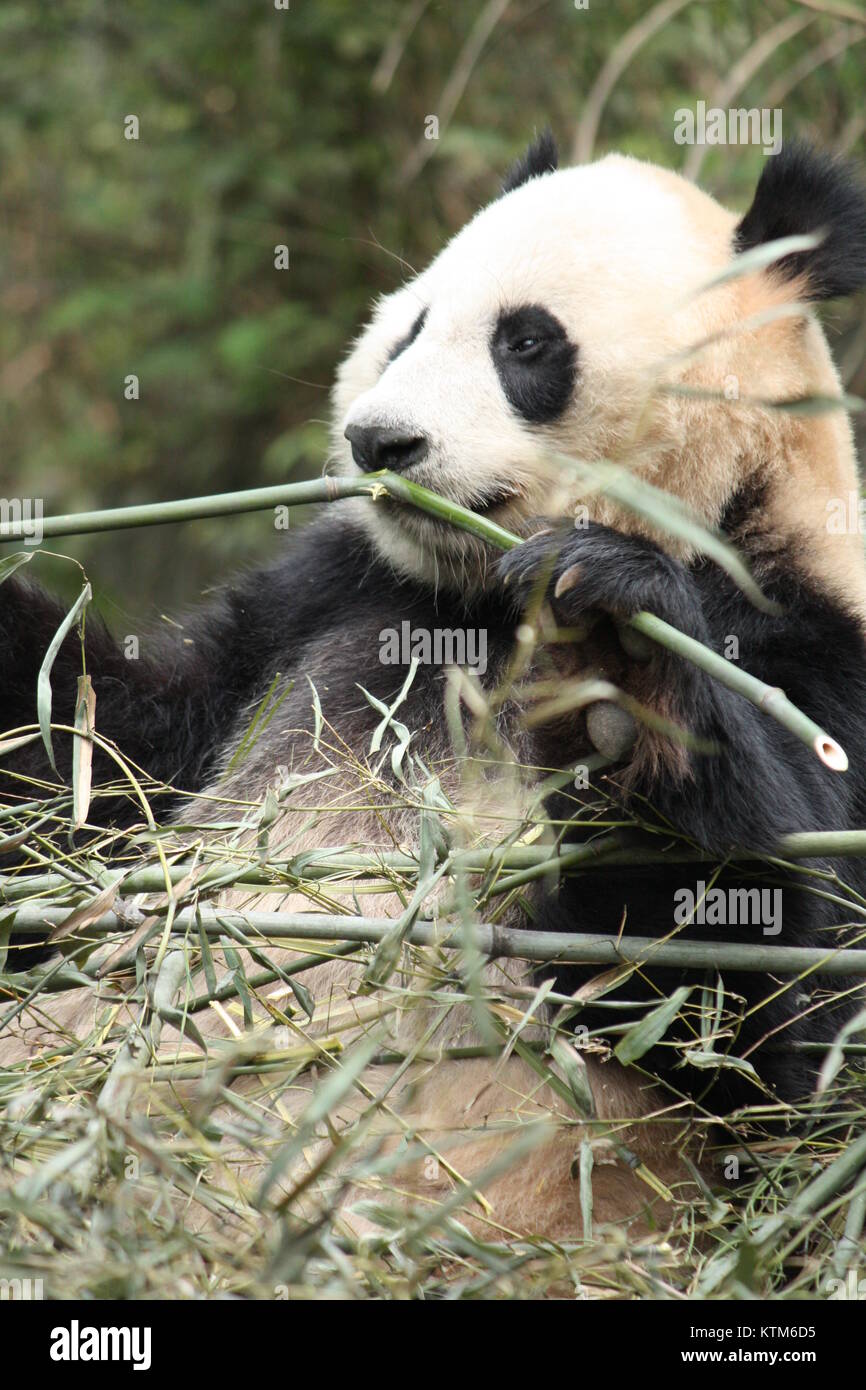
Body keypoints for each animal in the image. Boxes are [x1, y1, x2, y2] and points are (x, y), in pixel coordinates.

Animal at [2, 134, 866, 1238]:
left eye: (527, 343)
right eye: (407, 329)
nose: (380, 442)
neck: (484, 602)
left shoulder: (815, 658)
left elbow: (760, 1032)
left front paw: (621, 679)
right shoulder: (319, 605)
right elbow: (94, 774)